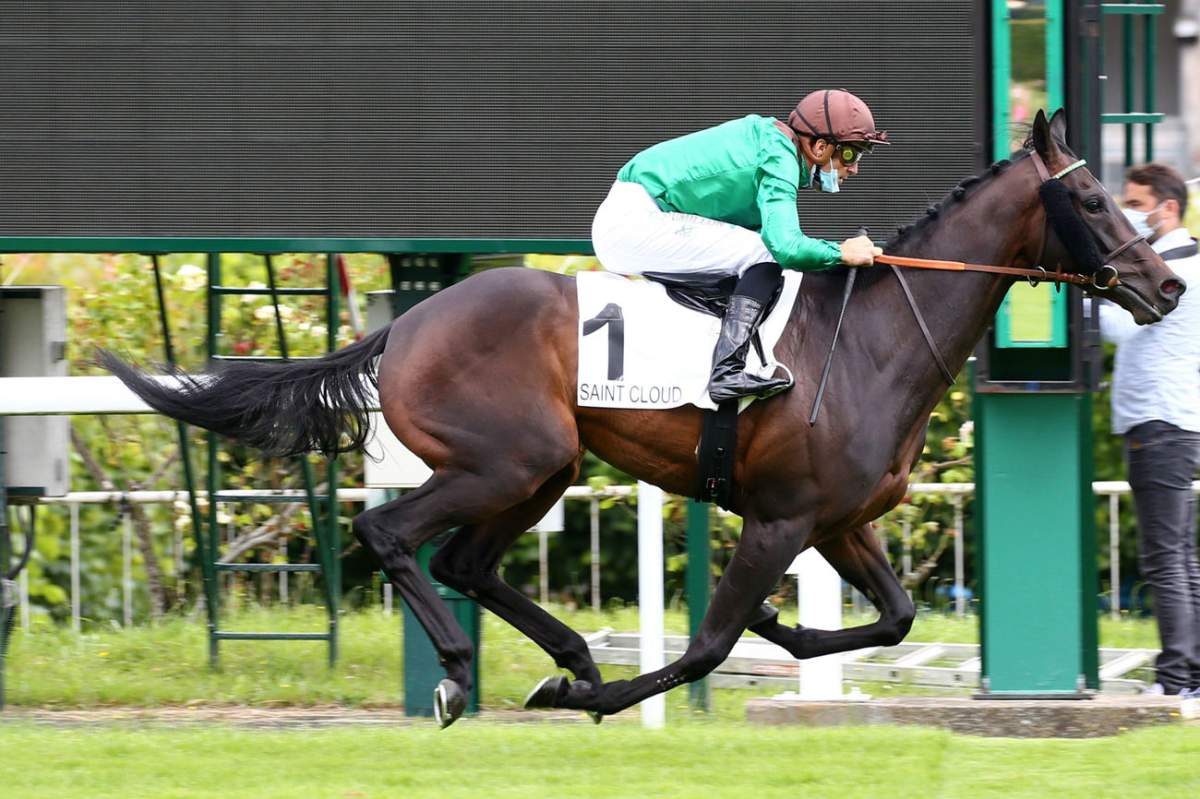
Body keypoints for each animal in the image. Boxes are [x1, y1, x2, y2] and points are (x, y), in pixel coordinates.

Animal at [103, 110, 1183, 727]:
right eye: (1093, 197)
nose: (1168, 285)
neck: (873, 337)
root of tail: (405, 322)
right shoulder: (781, 517)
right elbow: (707, 645)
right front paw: (603, 695)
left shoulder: (840, 519)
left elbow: (896, 616)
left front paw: (778, 626)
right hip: (506, 461)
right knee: (392, 534)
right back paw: (462, 674)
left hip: (543, 469)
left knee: (463, 561)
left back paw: (566, 656)